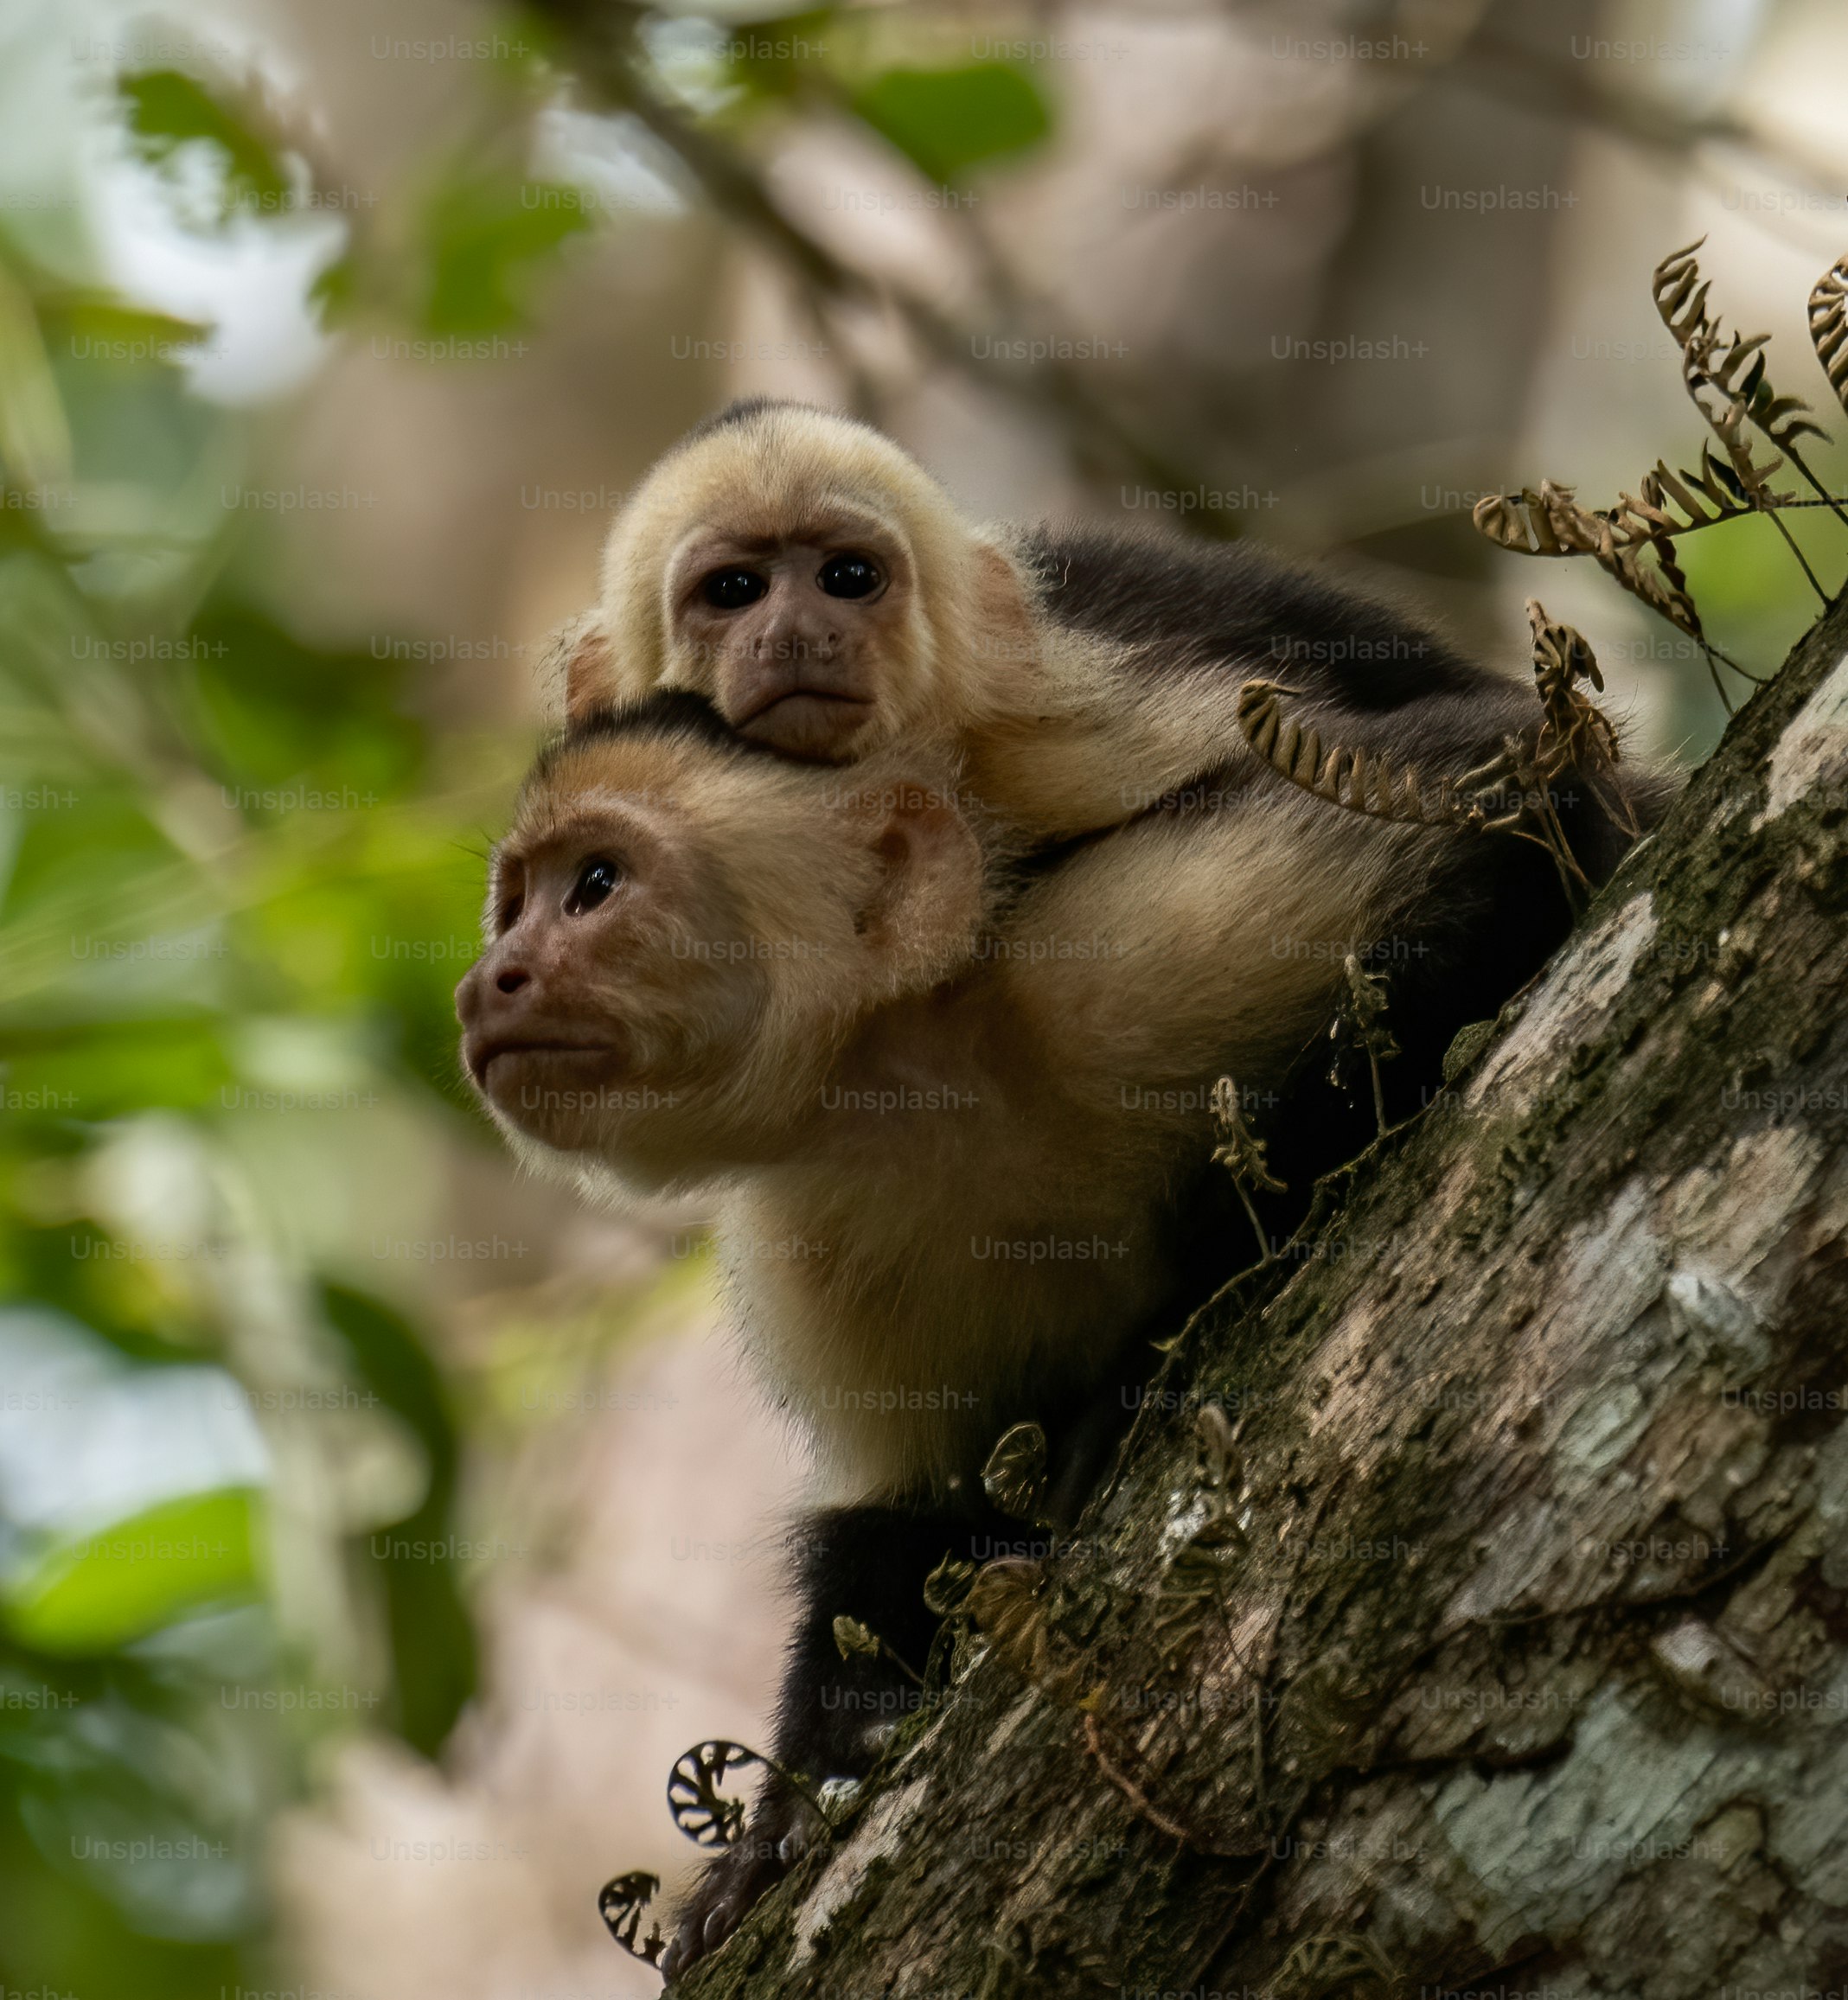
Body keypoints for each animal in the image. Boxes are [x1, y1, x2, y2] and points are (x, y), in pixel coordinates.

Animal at [456, 684, 1664, 1977]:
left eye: (593, 886)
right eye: (513, 905)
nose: (487, 981)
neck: (917, 1074)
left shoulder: (1107, 951)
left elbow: (1519, 800)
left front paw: (1172, 1324)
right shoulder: (815, 1239)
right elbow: (911, 1515)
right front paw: (787, 1813)